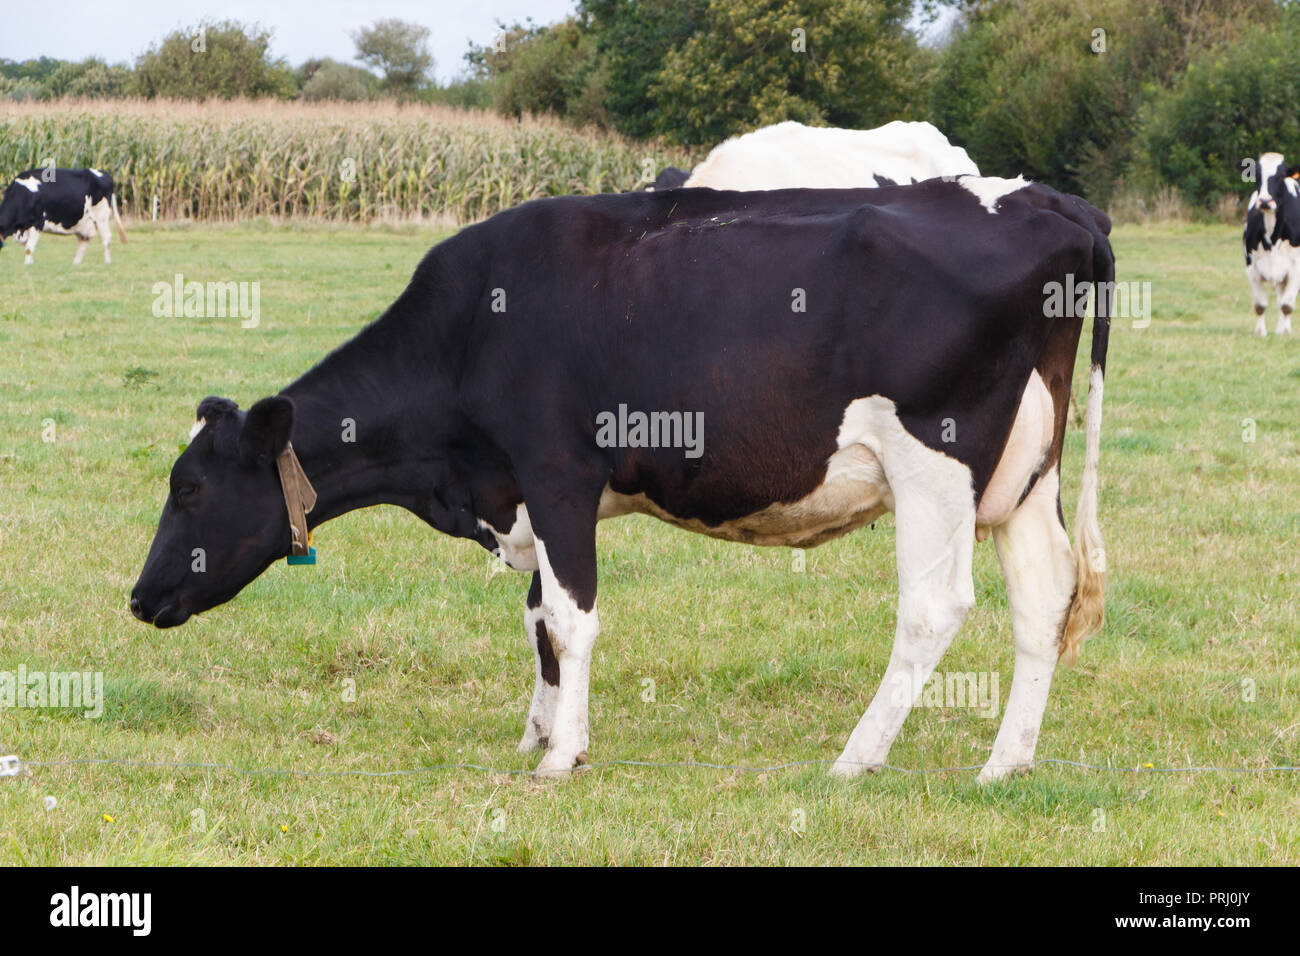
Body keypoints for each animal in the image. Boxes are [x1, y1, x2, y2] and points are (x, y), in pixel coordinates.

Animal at [130, 176, 1112, 783]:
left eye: (190, 488)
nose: (139, 598)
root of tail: (1050, 203)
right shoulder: (531, 498)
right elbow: (538, 621)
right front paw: (542, 730)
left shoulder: (557, 474)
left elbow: (570, 618)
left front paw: (559, 757)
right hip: (1025, 474)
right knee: (1043, 595)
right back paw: (1004, 764)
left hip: (935, 464)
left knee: (934, 606)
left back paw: (856, 757)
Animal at [1244, 152, 1298, 336]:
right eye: (1257, 175)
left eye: (1280, 176)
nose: (1265, 201)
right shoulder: (1251, 265)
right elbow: (1260, 305)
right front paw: (1260, 332)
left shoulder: (1297, 267)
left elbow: (1287, 305)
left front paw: (1286, 333)